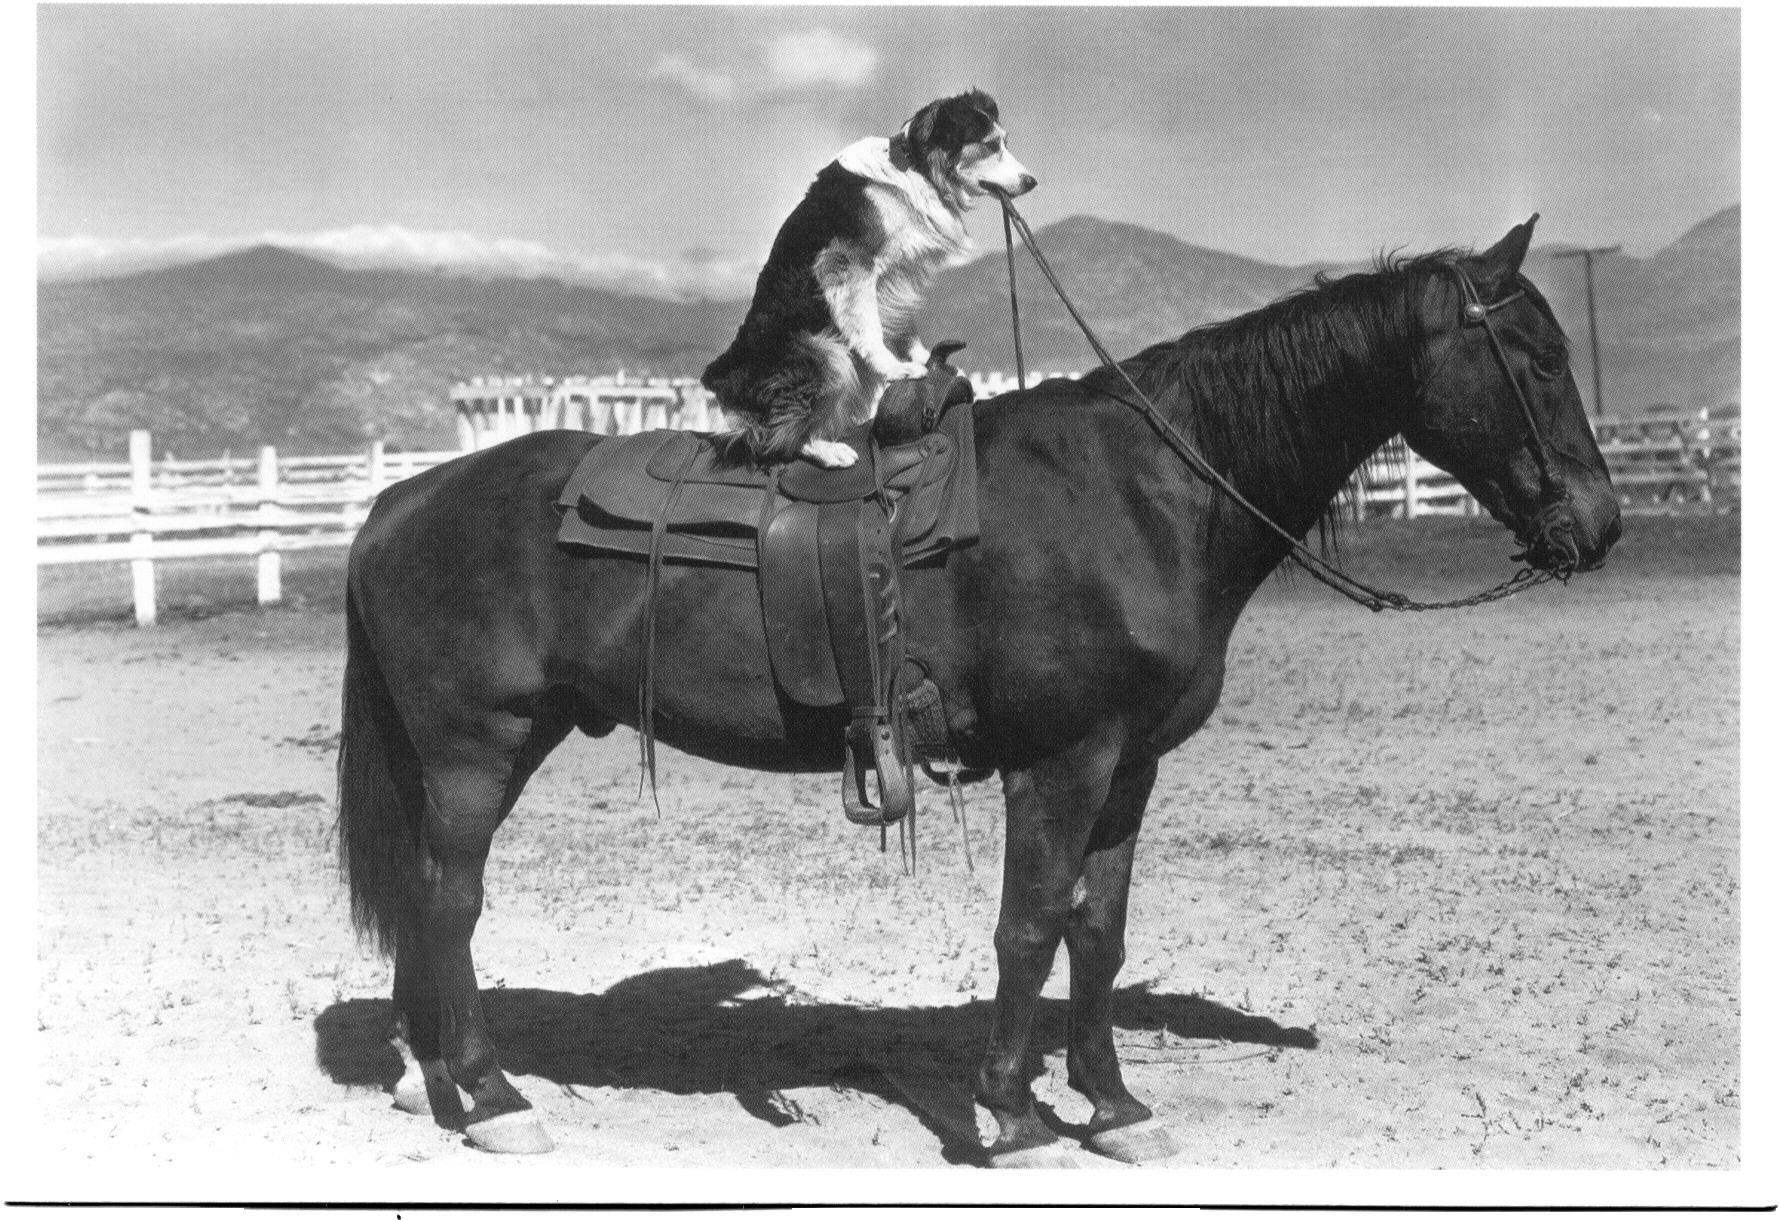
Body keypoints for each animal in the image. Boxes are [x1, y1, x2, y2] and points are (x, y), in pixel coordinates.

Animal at [335, 217, 1621, 1165]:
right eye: (1536, 361)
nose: (1599, 524)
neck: (1138, 492)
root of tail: (401, 501)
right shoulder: (1062, 758)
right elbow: (1029, 924)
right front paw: (1011, 1112)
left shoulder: (1128, 763)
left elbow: (1097, 931)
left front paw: (1112, 1105)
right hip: (475, 749)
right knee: (448, 899)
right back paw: (495, 1096)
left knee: (424, 898)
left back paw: (432, 1078)